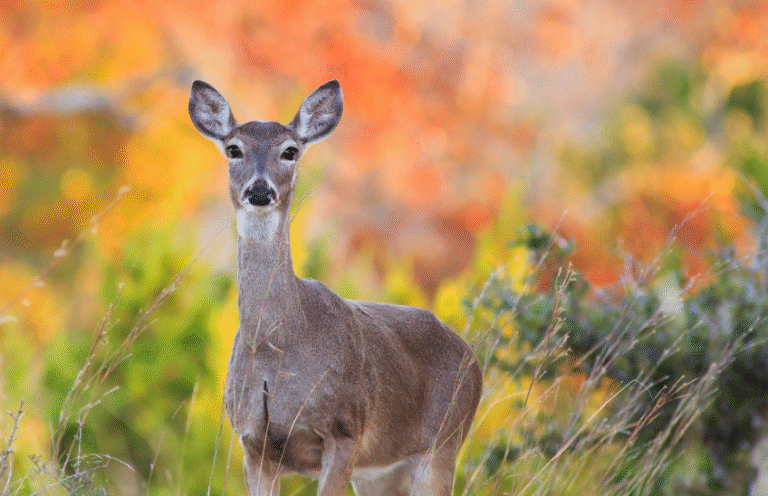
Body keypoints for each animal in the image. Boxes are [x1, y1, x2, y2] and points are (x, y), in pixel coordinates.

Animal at [189, 78, 482, 496]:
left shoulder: (345, 431)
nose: (259, 191)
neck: (279, 347)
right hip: (380, 473)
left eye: (290, 151)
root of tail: (474, 360)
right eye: (234, 148)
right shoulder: (253, 445)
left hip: (443, 445)